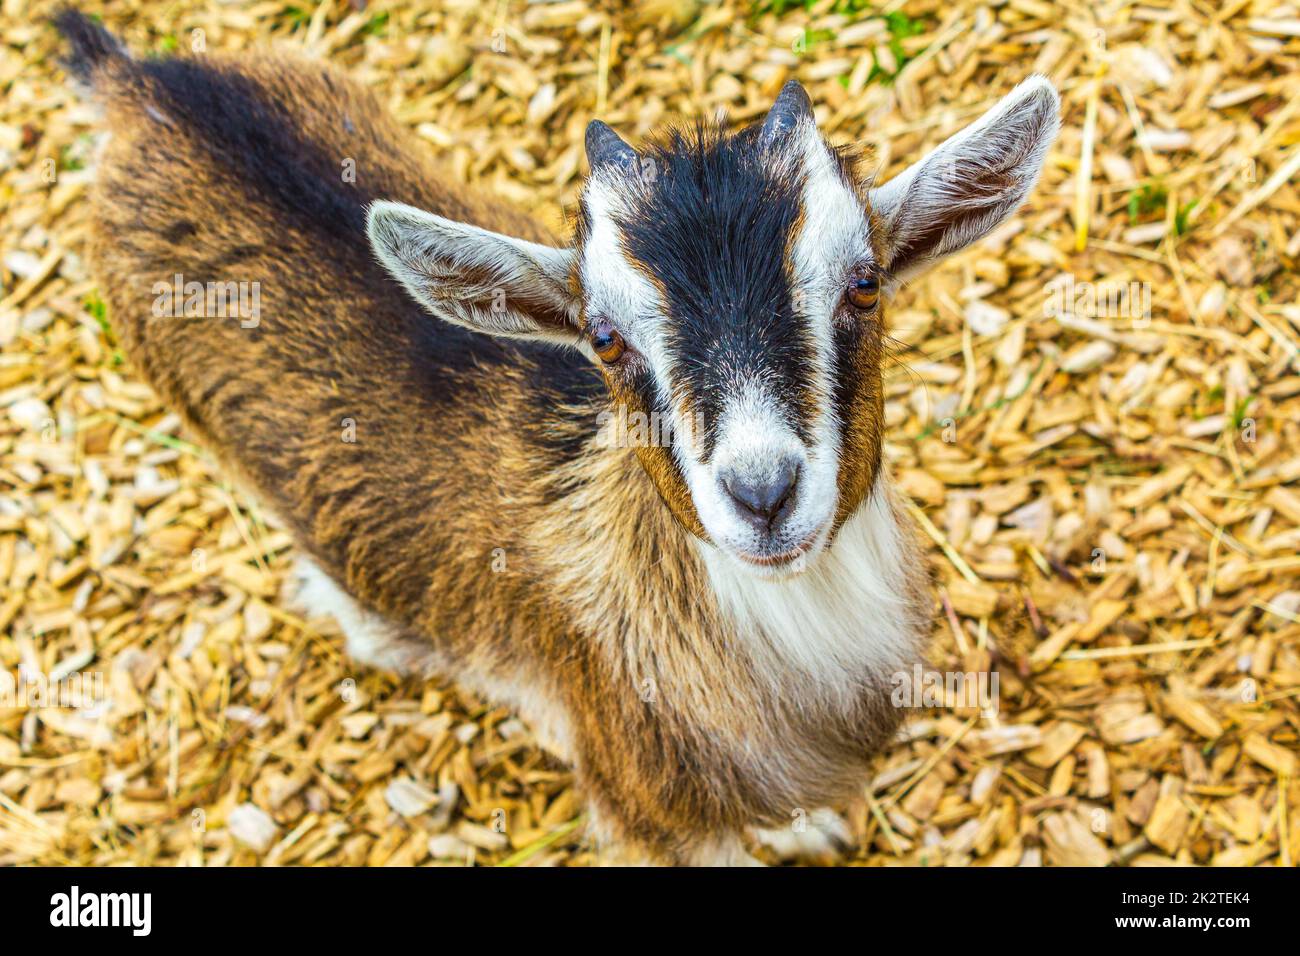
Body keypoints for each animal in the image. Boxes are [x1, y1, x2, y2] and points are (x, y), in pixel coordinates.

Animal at [56, 10, 1059, 865]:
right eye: (605, 339)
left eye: (866, 285)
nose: (763, 494)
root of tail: (133, 81)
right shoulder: (646, 800)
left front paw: (810, 828)